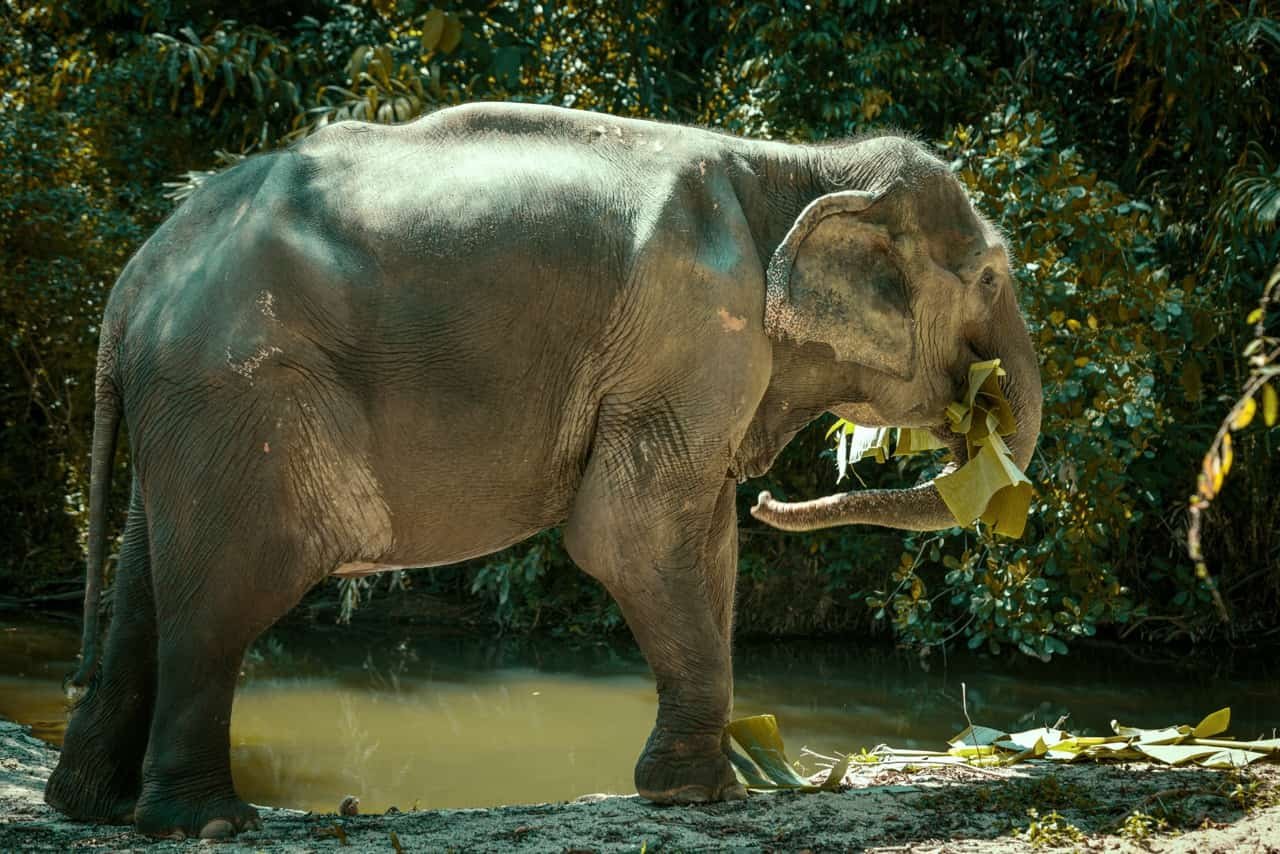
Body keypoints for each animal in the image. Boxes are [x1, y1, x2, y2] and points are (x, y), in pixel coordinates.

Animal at [45, 101, 1041, 838]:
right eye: (993, 279)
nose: (771, 498)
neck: (794, 167)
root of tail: (129, 289)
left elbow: (705, 544)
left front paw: (723, 780)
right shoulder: (691, 332)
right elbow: (628, 535)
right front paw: (703, 795)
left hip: (189, 413)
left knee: (146, 582)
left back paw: (90, 807)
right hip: (243, 395)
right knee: (228, 594)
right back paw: (208, 824)